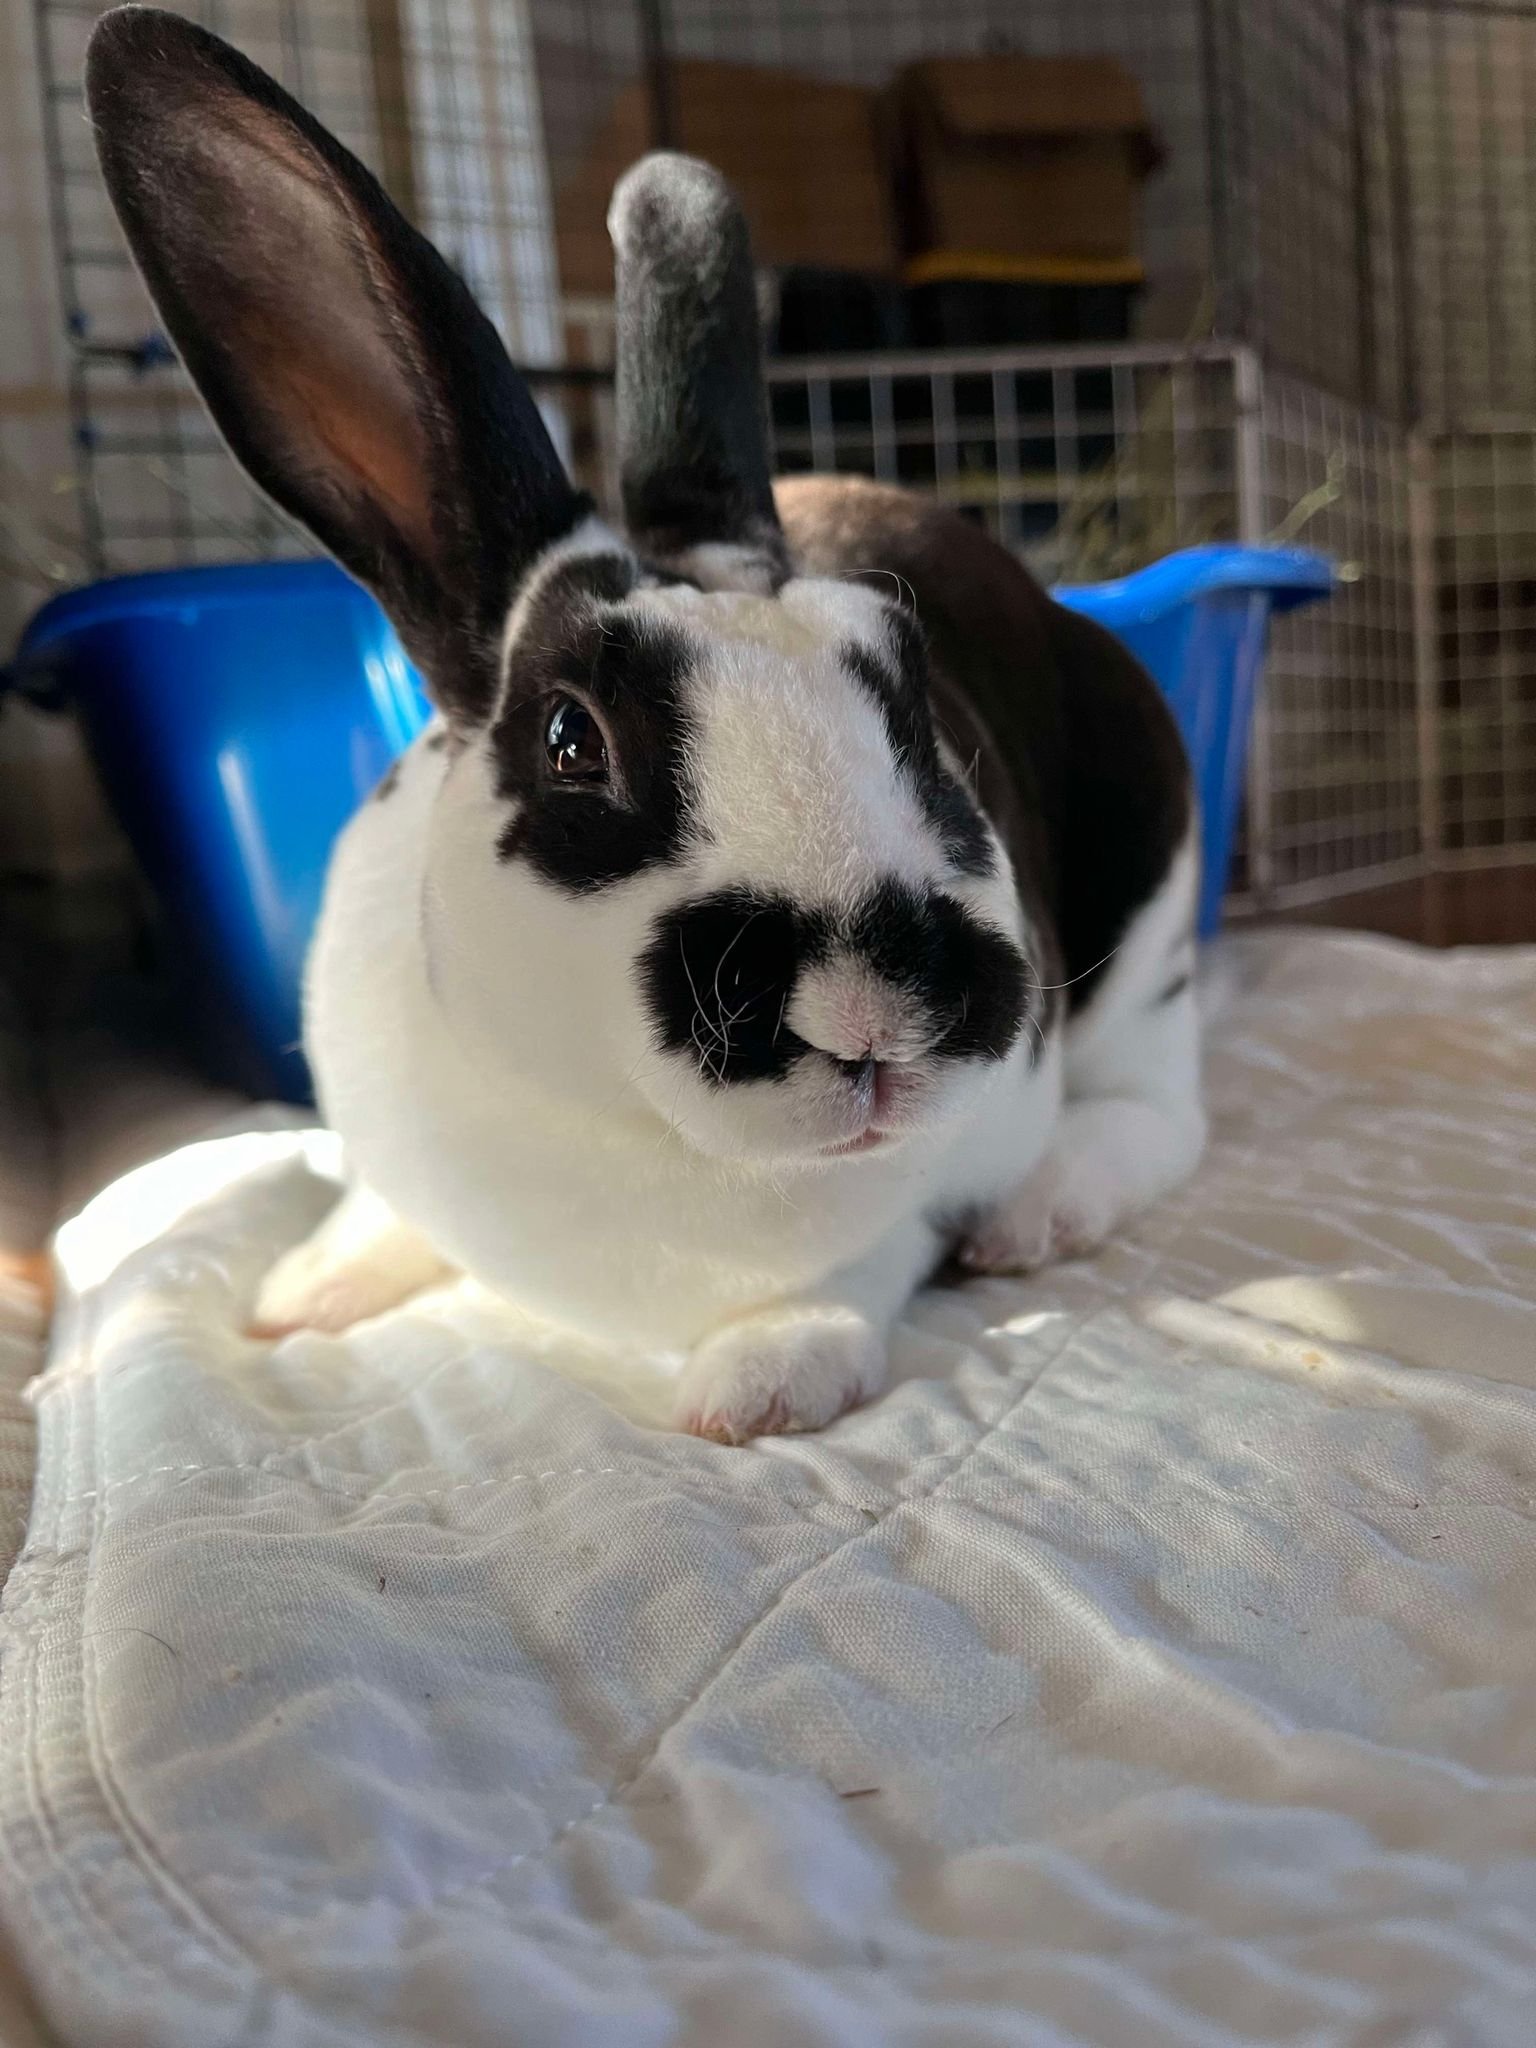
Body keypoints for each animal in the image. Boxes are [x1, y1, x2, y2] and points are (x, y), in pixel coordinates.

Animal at [86, 9, 1204, 1442]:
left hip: (1151, 894)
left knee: (1162, 1106)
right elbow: (379, 1203)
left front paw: (766, 1378)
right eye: (573, 741)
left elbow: (864, 1264)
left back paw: (1038, 1215)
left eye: (912, 699)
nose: (880, 1001)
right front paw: (299, 1292)